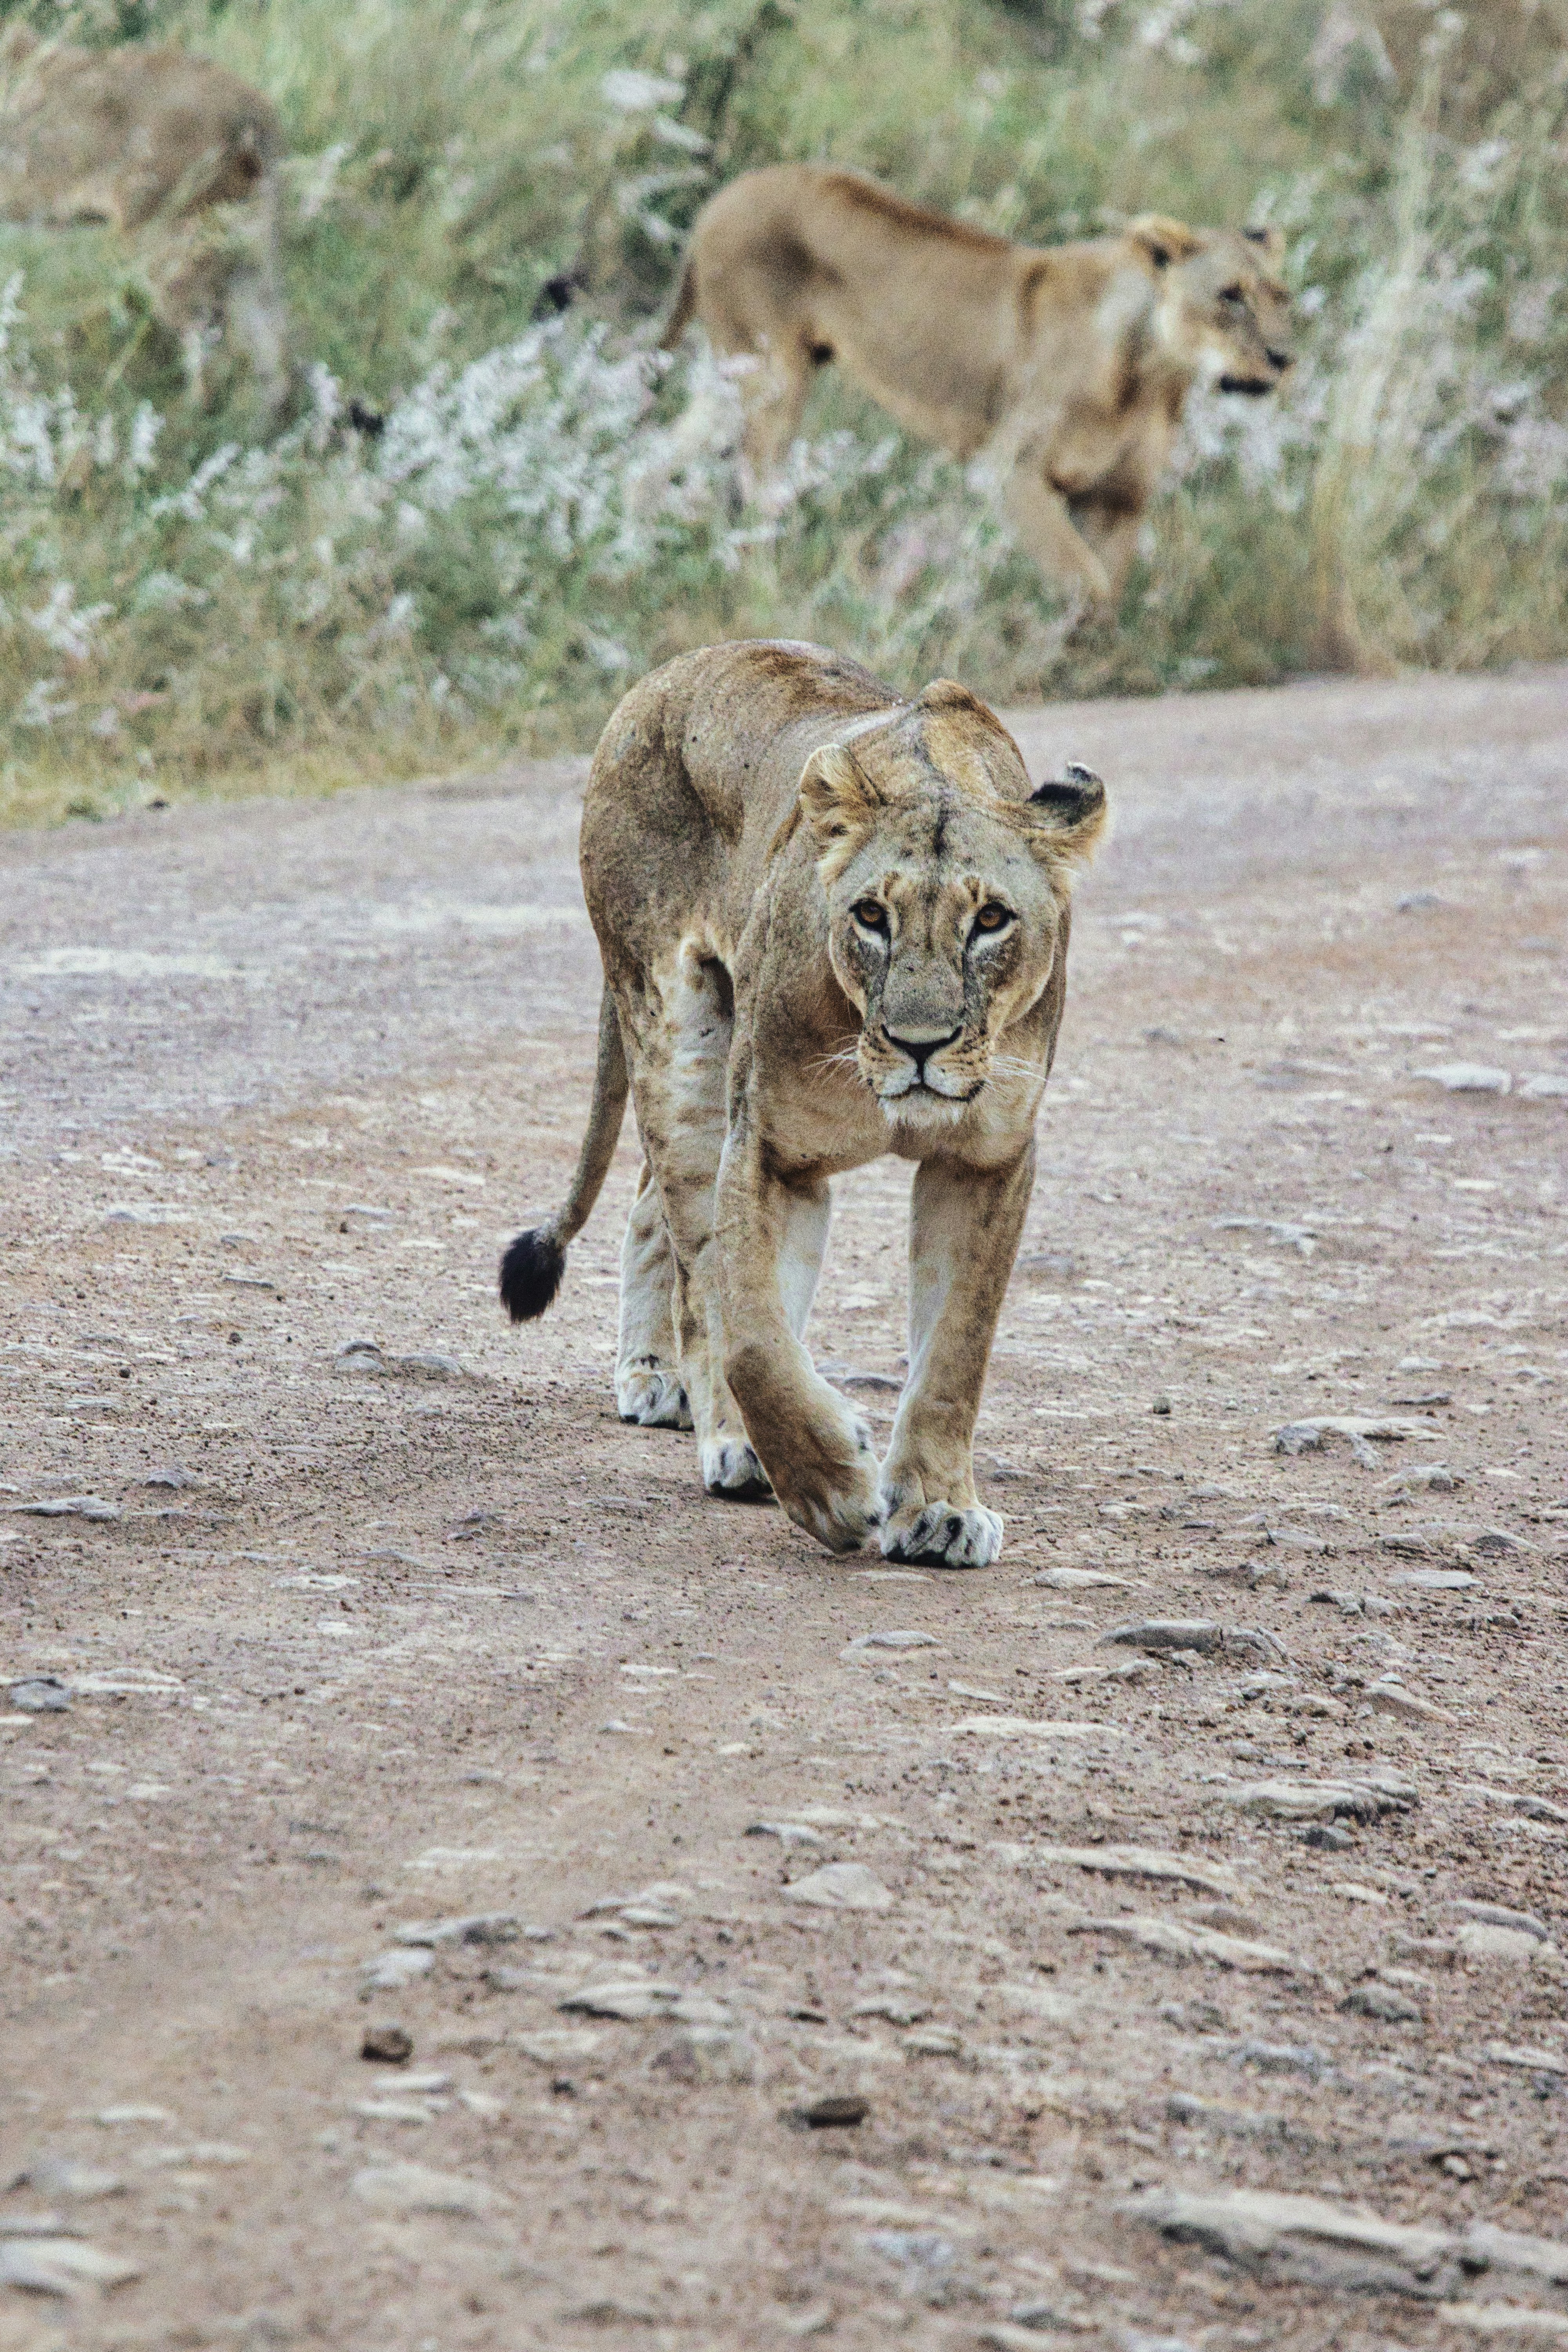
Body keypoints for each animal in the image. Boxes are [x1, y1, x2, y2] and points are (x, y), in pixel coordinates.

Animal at [0, 29, 288, 418]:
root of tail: (254, 106)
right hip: (250, 257)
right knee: (274, 359)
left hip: (167, 248)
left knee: (213, 358)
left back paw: (177, 421)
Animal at [499, 639, 1106, 1568]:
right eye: (871, 916)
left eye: (991, 921)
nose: (920, 1044)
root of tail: (666, 673)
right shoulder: (768, 1145)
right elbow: (750, 1331)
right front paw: (828, 1485)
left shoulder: (987, 1158)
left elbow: (954, 1352)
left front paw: (938, 1511)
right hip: (675, 1041)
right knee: (693, 1263)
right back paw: (720, 1434)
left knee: (646, 1206)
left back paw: (653, 1375)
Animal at [662, 165, 1294, 617]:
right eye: (1231, 296)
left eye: (1281, 297)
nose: (1284, 358)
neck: (1152, 374)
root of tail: (720, 199)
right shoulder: (1008, 470)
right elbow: (1083, 581)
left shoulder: (1119, 500)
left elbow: (1107, 593)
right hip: (773, 380)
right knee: (751, 500)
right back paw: (767, 600)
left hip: (737, 380)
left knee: (667, 454)